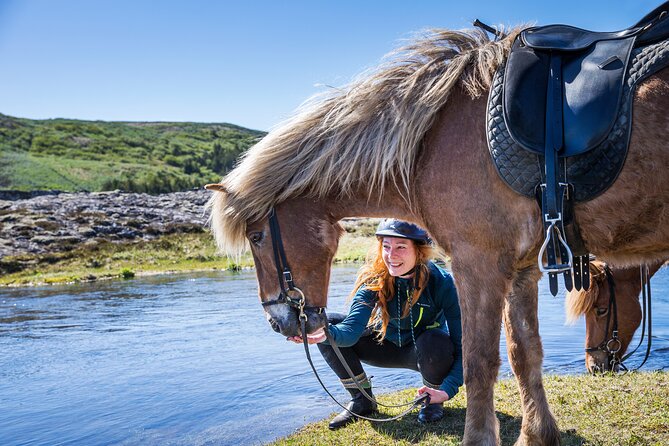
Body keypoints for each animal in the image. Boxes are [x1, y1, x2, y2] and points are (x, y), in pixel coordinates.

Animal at [206, 22, 669, 446]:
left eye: (257, 237)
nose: (278, 321)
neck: (429, 143)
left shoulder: (477, 264)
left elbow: (479, 362)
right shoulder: (522, 271)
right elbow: (525, 355)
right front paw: (537, 435)